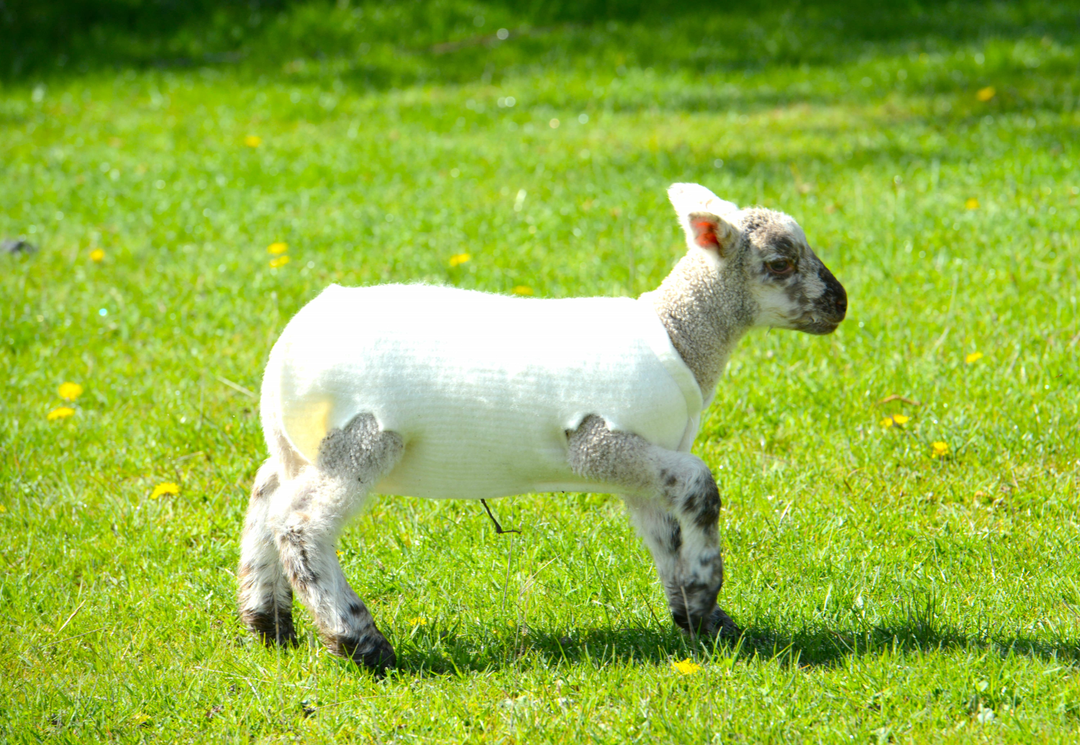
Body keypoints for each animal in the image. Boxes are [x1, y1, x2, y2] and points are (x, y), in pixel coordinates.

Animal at [237, 182, 847, 672]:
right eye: (780, 263)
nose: (840, 304)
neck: (680, 333)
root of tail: (286, 347)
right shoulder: (600, 444)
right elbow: (703, 486)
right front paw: (703, 590)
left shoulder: (643, 458)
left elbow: (667, 532)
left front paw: (703, 619)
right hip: (360, 437)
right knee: (300, 524)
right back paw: (360, 642)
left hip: (302, 444)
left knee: (267, 493)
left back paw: (267, 623)